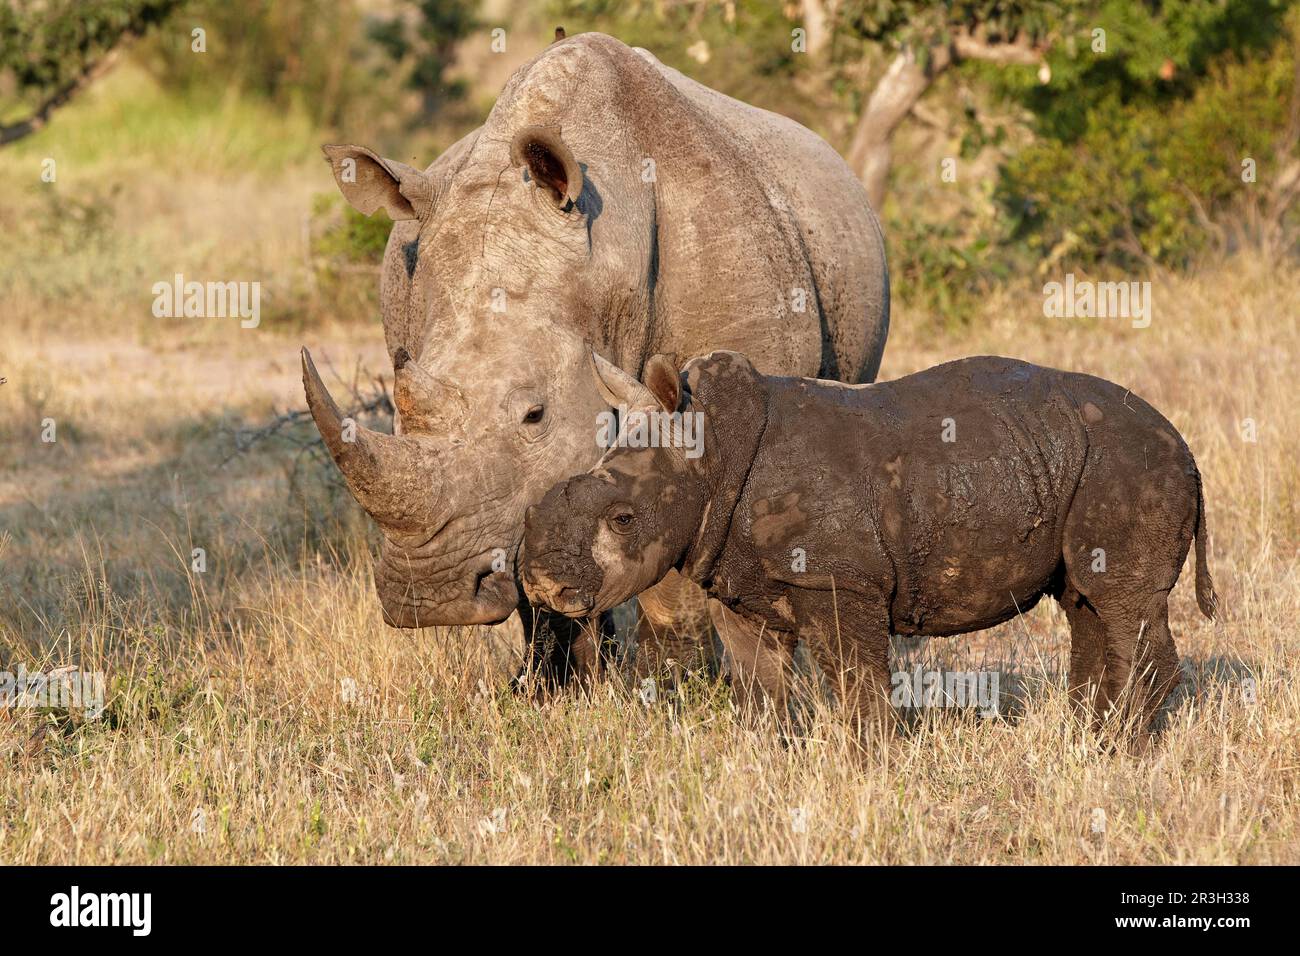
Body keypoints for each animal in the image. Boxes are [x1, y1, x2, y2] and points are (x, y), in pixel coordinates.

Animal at [301, 32, 888, 677]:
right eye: (400, 414)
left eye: (535, 415)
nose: (427, 597)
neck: (607, 262)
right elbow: (538, 555)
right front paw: (555, 687)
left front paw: (677, 686)